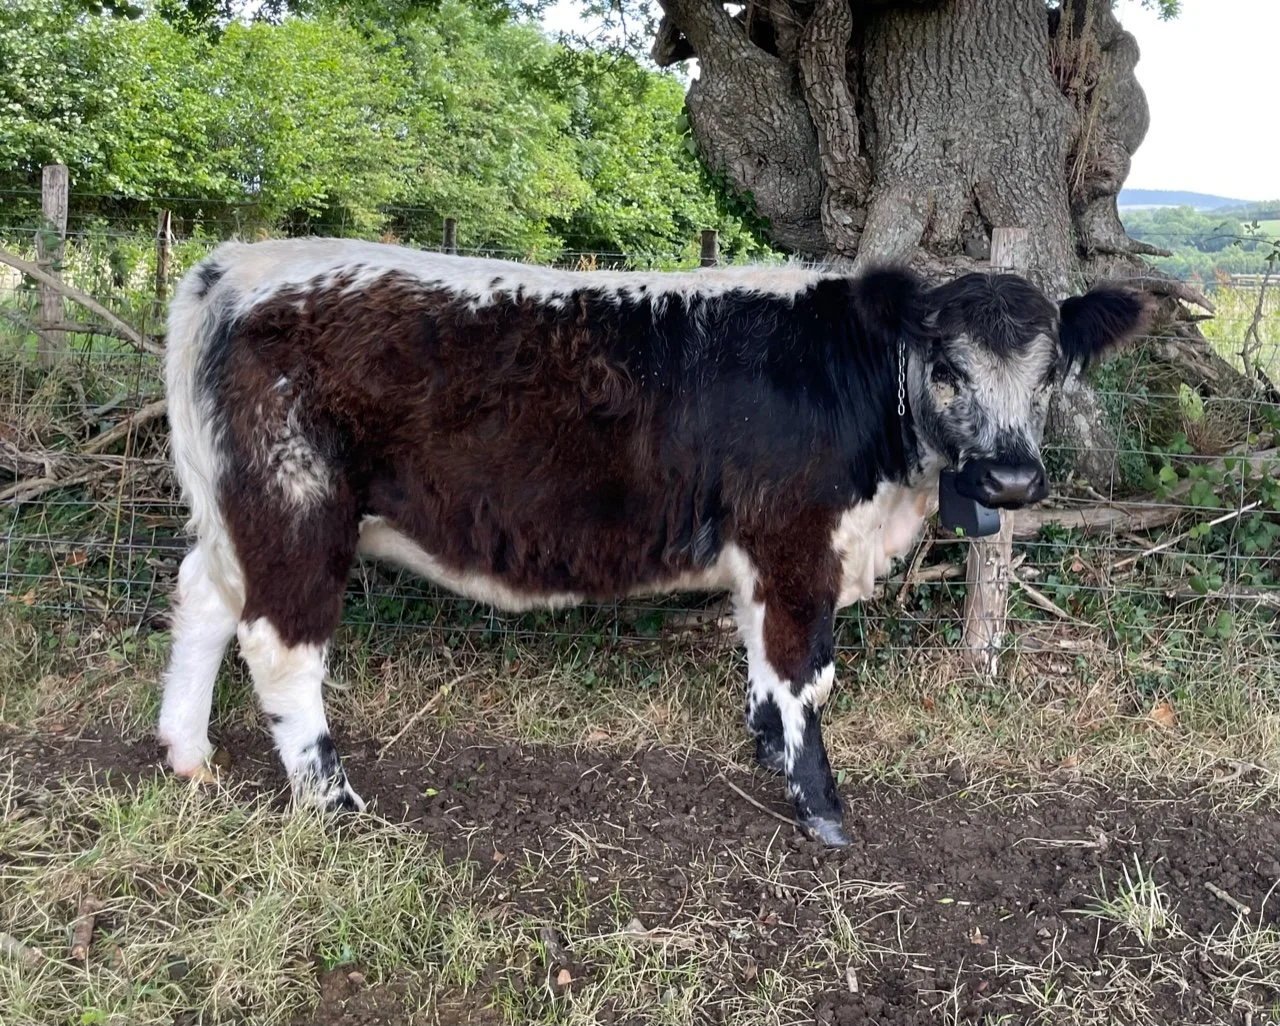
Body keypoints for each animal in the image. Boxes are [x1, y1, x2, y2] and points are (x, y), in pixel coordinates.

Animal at [157, 238, 1148, 845]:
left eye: (1051, 372)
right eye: (946, 368)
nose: (1011, 481)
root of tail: (234, 265)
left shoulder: (765, 557)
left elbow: (772, 671)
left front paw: (767, 749)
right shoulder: (795, 543)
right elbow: (803, 671)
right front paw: (821, 806)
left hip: (233, 512)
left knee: (202, 600)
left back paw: (188, 754)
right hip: (296, 507)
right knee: (280, 648)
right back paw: (332, 804)